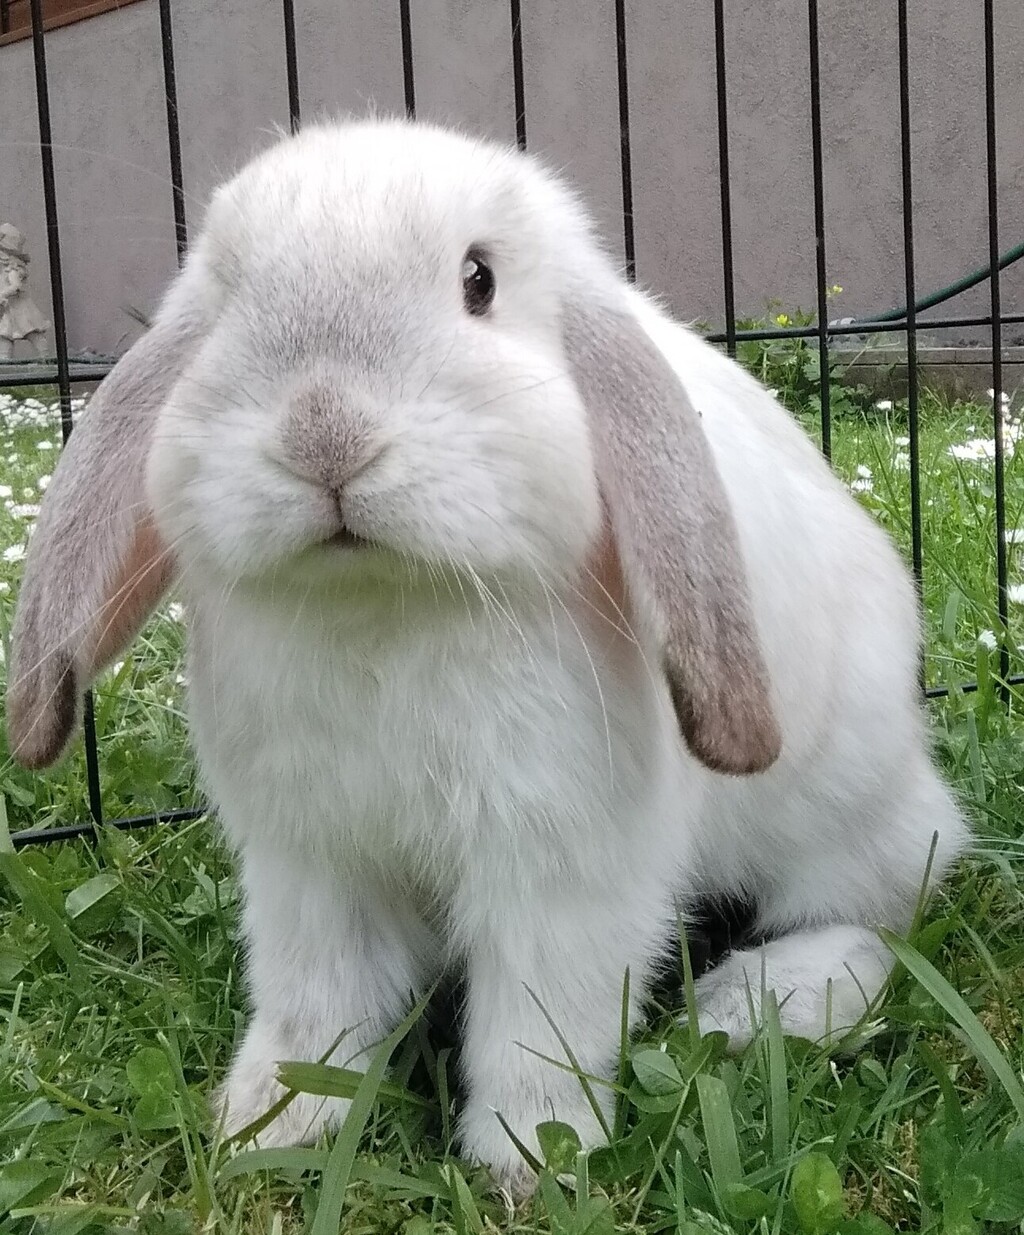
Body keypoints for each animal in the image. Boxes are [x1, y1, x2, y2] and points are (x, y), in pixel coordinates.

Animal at [6, 117, 968, 1195]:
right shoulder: (309, 866)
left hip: (847, 817)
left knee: (882, 912)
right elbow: (315, 1004)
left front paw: (530, 1160)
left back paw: (759, 997)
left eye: (480, 280)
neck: (386, 605)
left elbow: (539, 1026)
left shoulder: (559, 868)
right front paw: (268, 1124)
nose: (323, 431)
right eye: (222, 295)